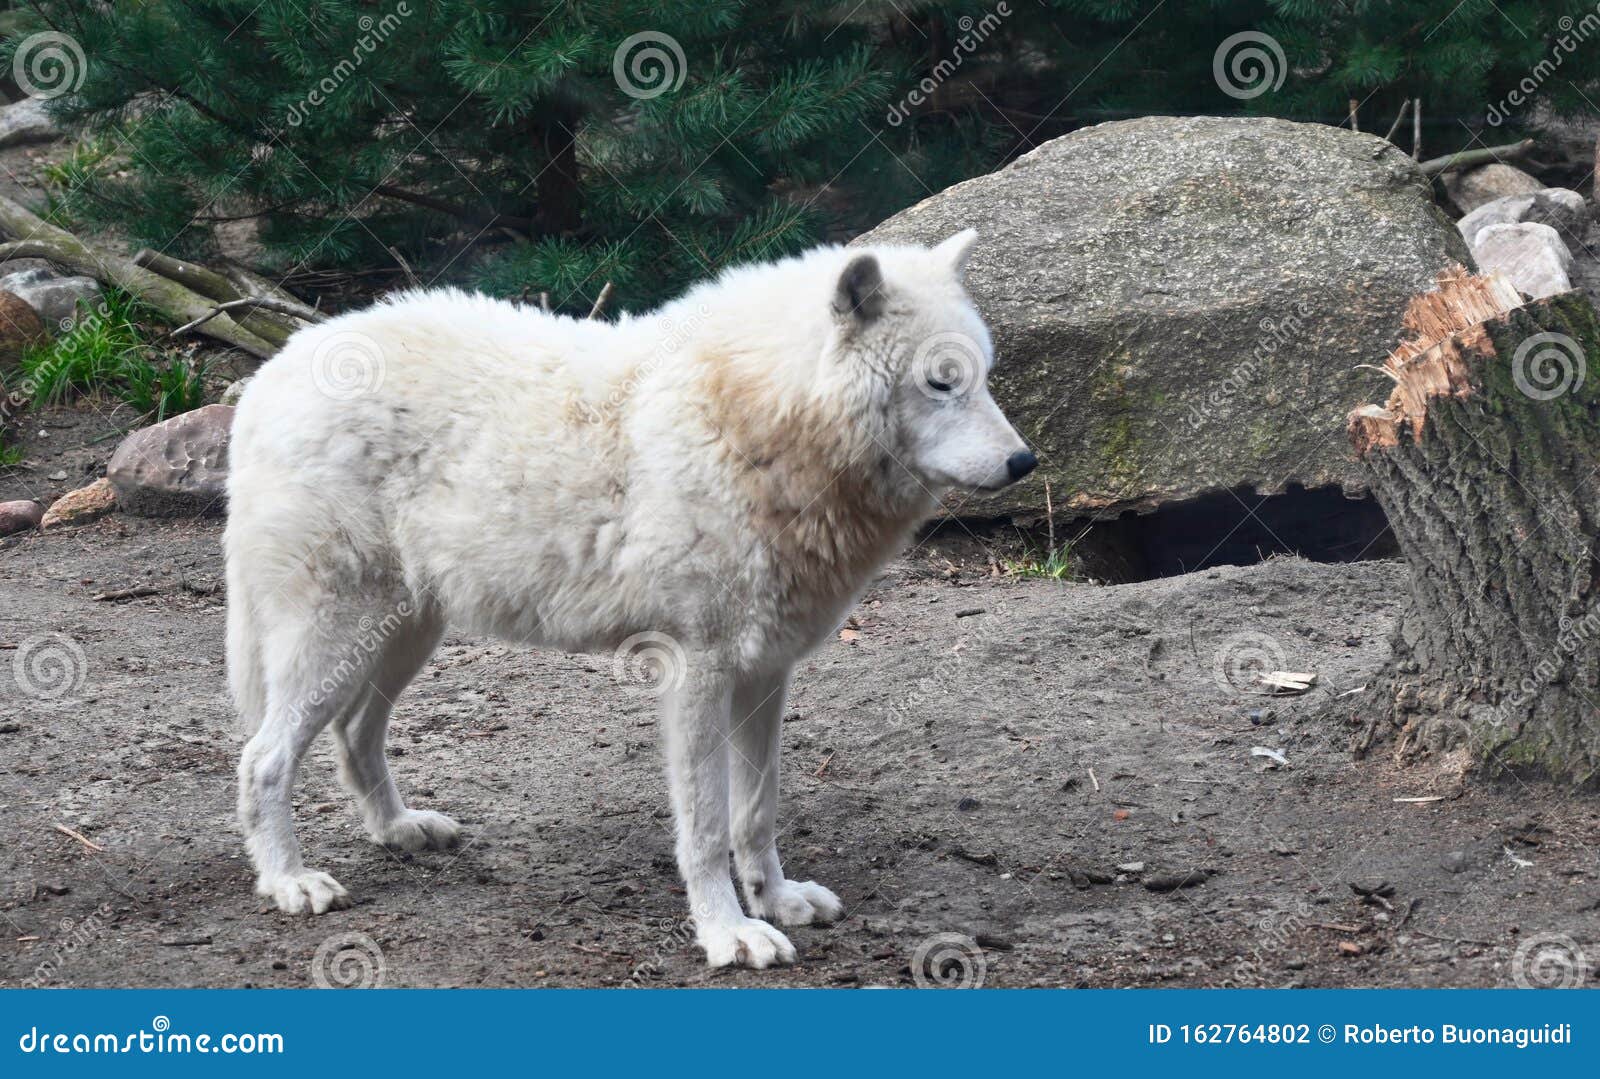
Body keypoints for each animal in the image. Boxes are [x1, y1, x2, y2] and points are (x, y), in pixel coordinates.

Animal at [225, 229, 1035, 968]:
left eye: (983, 375)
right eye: (941, 382)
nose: (1023, 462)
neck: (758, 425)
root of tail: (274, 371)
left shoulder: (767, 671)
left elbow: (757, 811)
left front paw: (777, 900)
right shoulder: (698, 671)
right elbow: (706, 827)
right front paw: (729, 932)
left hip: (404, 637)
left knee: (355, 735)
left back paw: (399, 831)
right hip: (336, 637)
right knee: (262, 756)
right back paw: (290, 881)